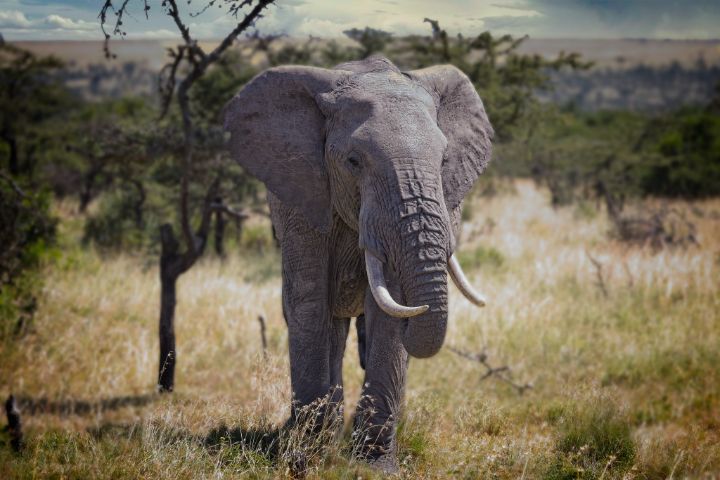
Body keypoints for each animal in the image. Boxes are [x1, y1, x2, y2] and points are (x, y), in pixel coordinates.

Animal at [224, 55, 493, 471]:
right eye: (353, 161)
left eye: (444, 160)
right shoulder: (303, 196)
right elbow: (310, 305)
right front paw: (307, 459)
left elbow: (388, 318)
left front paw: (374, 466)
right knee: (327, 325)